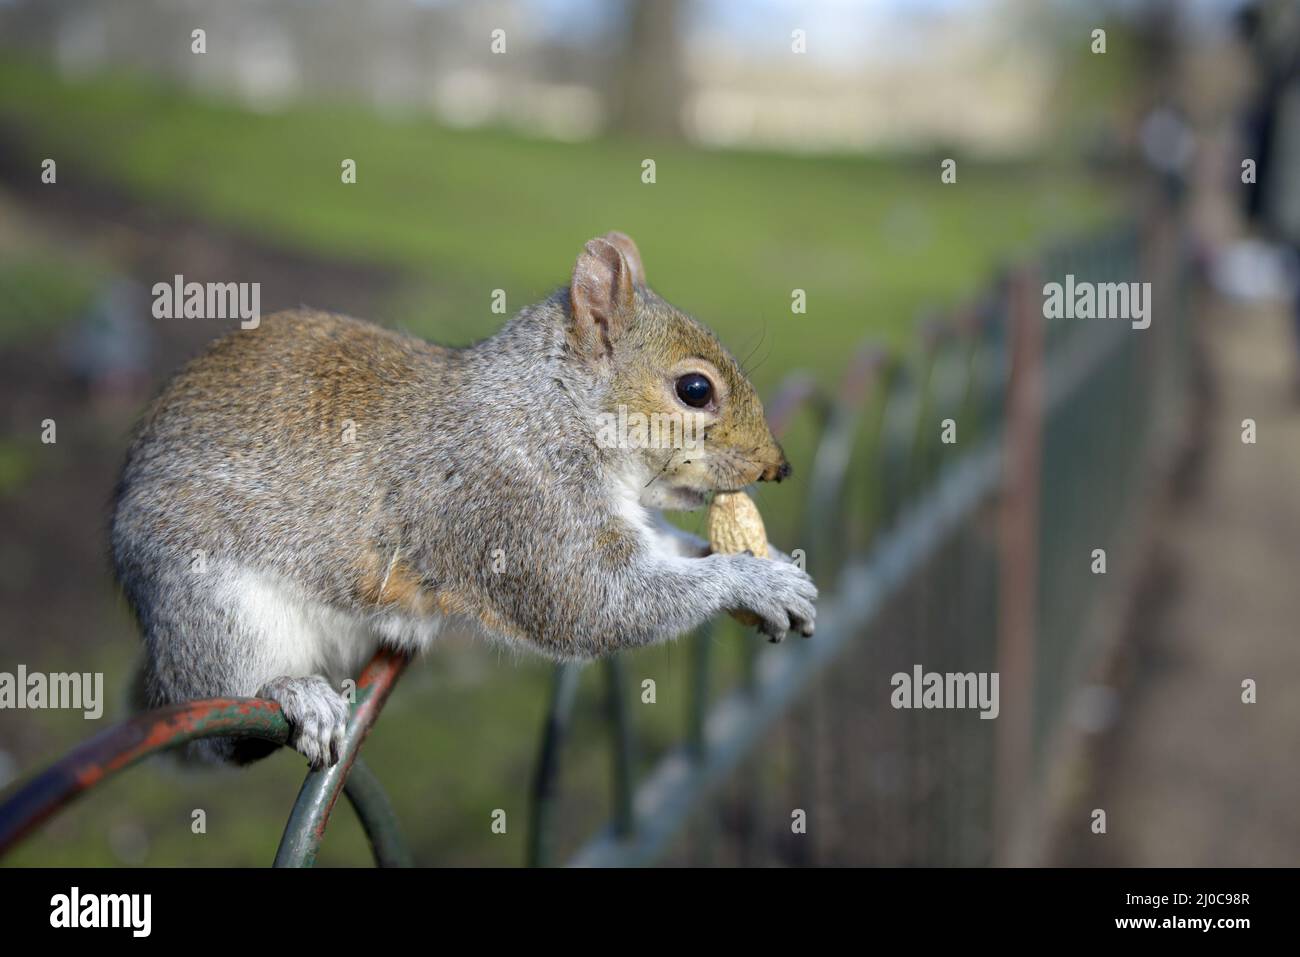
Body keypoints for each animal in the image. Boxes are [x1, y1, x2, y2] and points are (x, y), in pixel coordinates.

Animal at [110, 232, 818, 768]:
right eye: (695, 389)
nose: (778, 467)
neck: (552, 409)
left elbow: (665, 551)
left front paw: (761, 562)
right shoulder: (512, 507)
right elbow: (596, 605)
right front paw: (750, 580)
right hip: (209, 603)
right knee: (223, 726)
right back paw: (293, 691)